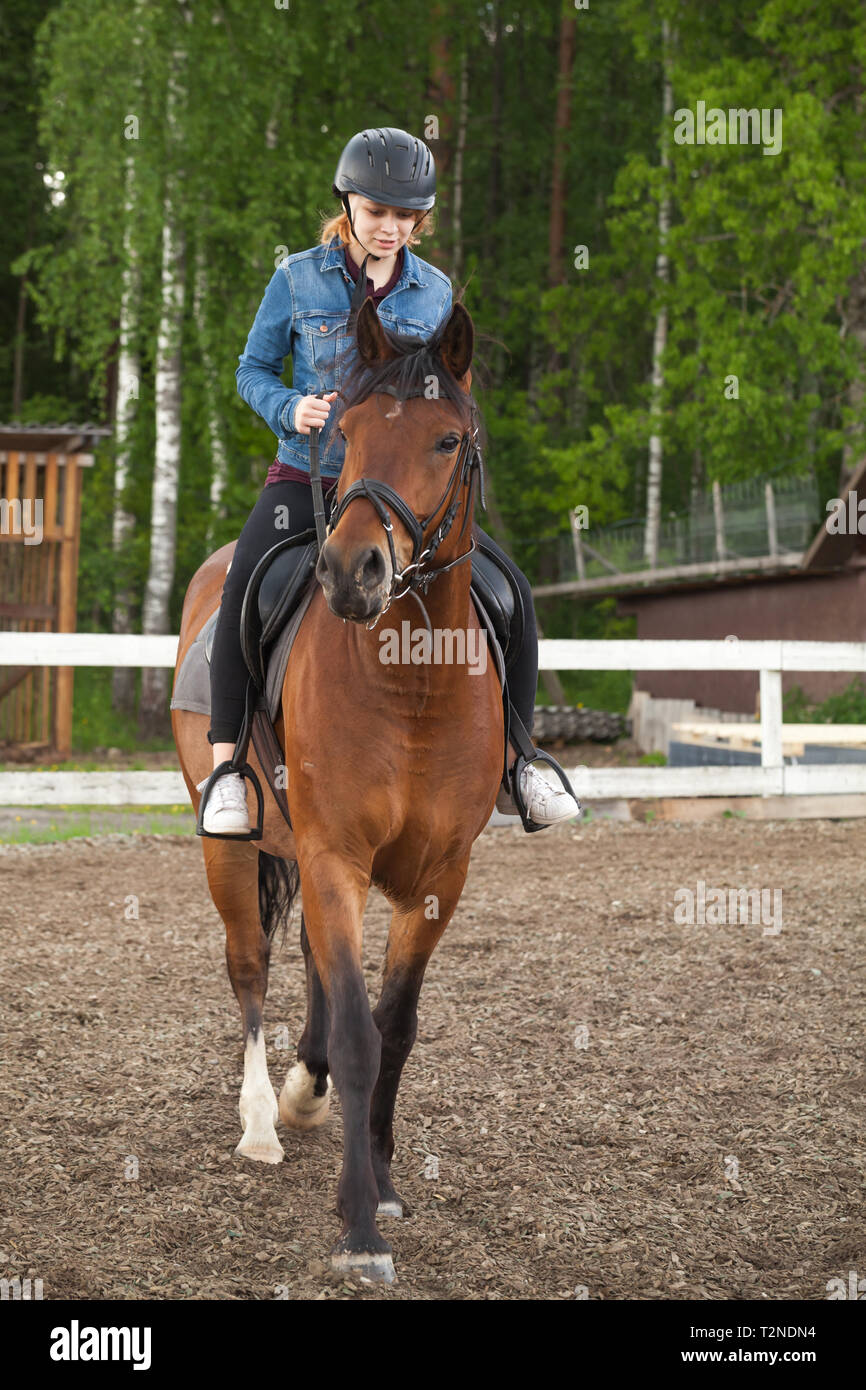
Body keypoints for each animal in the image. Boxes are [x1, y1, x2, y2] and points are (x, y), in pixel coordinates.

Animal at [172, 297, 503, 1283]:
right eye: (345, 432)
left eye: (446, 440)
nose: (352, 572)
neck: (412, 685)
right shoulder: (333, 857)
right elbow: (359, 1032)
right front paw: (359, 1227)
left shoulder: (441, 877)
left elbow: (394, 1025)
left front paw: (383, 1180)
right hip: (233, 847)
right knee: (250, 966)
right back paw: (261, 1123)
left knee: (313, 964)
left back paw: (305, 1093)